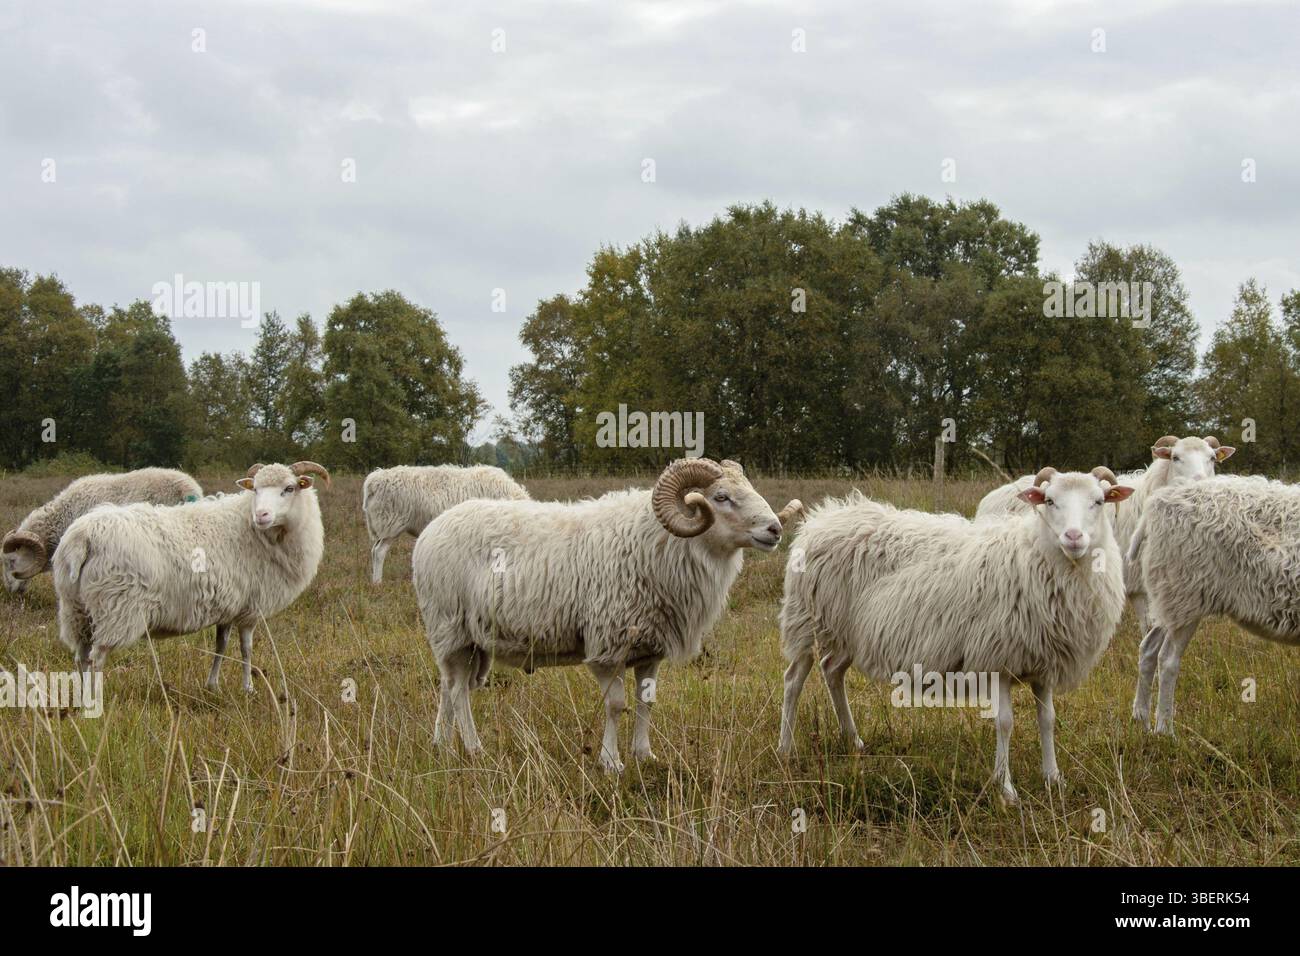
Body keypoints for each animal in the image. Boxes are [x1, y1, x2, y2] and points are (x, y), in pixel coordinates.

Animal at [52, 462, 329, 693]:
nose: (261, 515)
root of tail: (84, 536)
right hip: (115, 609)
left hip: (76, 609)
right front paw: (248, 689)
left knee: (81, 656)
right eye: (256, 489)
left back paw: (82, 698)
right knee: (97, 658)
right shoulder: (250, 608)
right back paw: (95, 700)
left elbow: (221, 646)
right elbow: (246, 649)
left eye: (289, 488)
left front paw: (213, 686)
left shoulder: (229, 605)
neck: (253, 531)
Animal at [363, 465, 530, 583]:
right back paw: (378, 582)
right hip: (390, 524)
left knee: (373, 550)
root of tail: (373, 481)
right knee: (379, 552)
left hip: (383, 526)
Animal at [412, 457, 803, 772]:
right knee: (458, 691)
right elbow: (616, 706)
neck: (655, 546)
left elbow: (646, 702)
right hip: (450, 627)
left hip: (466, 639)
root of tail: (431, 530)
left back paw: (442, 744)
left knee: (449, 685)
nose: (775, 529)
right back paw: (474, 748)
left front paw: (645, 756)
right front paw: (611, 762)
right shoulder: (606, 648)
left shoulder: (649, 650)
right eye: (720, 497)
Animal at [779, 466, 1134, 804]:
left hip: (847, 631)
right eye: (1049, 501)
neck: (1038, 555)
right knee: (794, 679)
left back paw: (853, 740)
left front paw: (1053, 779)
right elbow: (1005, 722)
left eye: (1099, 501)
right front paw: (1006, 788)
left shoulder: (1044, 661)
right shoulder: (996, 659)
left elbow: (1047, 719)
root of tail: (822, 518)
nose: (1074, 537)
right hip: (807, 619)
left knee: (832, 670)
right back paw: (786, 748)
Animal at [1128, 475, 1300, 734]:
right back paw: (1165, 730)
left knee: (1148, 648)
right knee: (1168, 660)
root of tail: (1156, 503)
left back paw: (1141, 720)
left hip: (1169, 597)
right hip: (1185, 593)